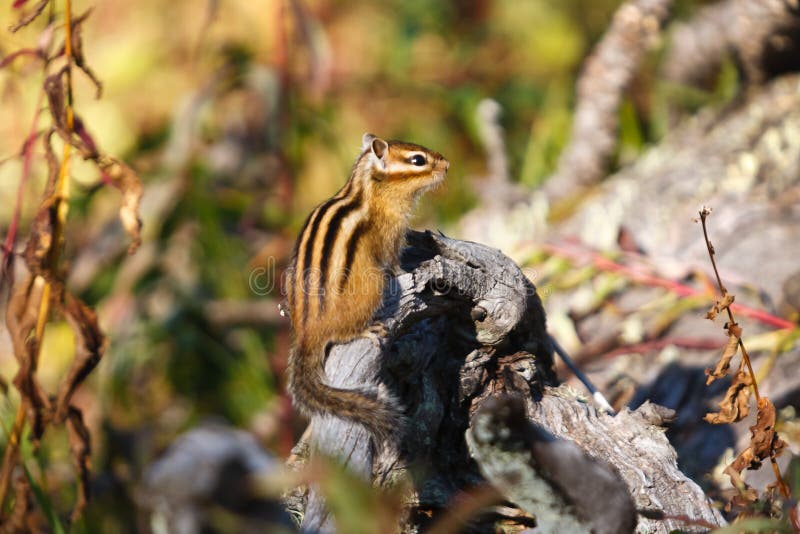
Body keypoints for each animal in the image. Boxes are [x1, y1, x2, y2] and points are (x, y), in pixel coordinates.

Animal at [285, 133, 449, 444]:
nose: (447, 165)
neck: (368, 189)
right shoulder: (390, 234)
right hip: (371, 288)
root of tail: (307, 332)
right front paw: (407, 271)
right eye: (418, 160)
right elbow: (394, 262)